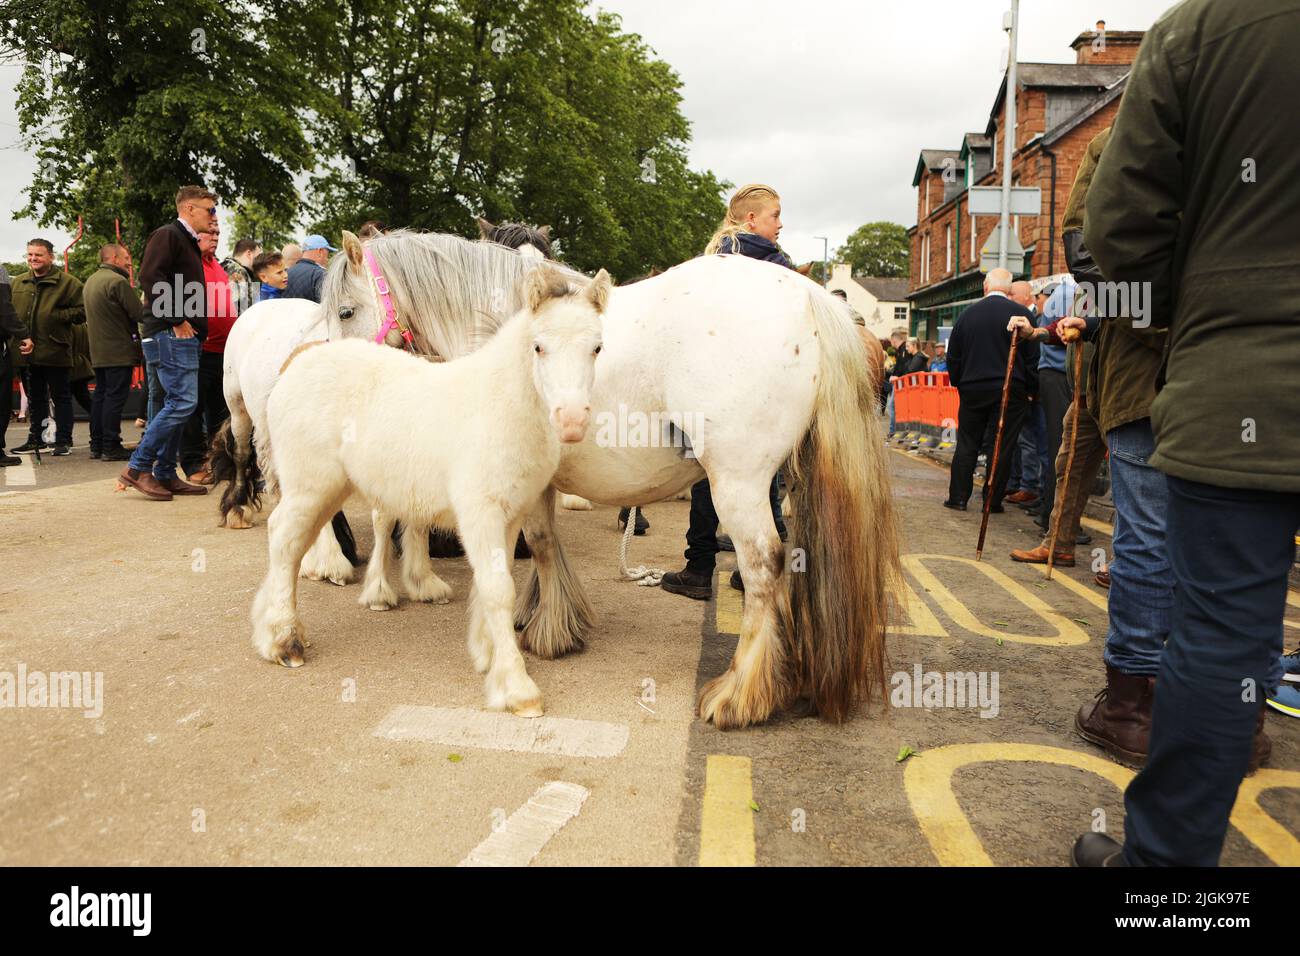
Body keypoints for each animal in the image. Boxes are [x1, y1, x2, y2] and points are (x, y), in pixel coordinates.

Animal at [251, 266, 610, 716]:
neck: (499, 405)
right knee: (284, 540)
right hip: (310, 485)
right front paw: (517, 687)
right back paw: (285, 639)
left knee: (294, 541)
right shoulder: (480, 513)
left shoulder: (510, 515)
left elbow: (494, 582)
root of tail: (296, 366)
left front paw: (486, 654)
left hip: (330, 488)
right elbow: (498, 590)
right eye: (538, 346)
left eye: (597, 347)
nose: (572, 421)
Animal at [321, 229, 901, 729]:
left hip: (736, 483)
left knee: (764, 566)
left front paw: (547, 633)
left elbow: (536, 545)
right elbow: (538, 546)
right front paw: (540, 618)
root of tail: (808, 297)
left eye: (346, 310)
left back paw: (739, 695)